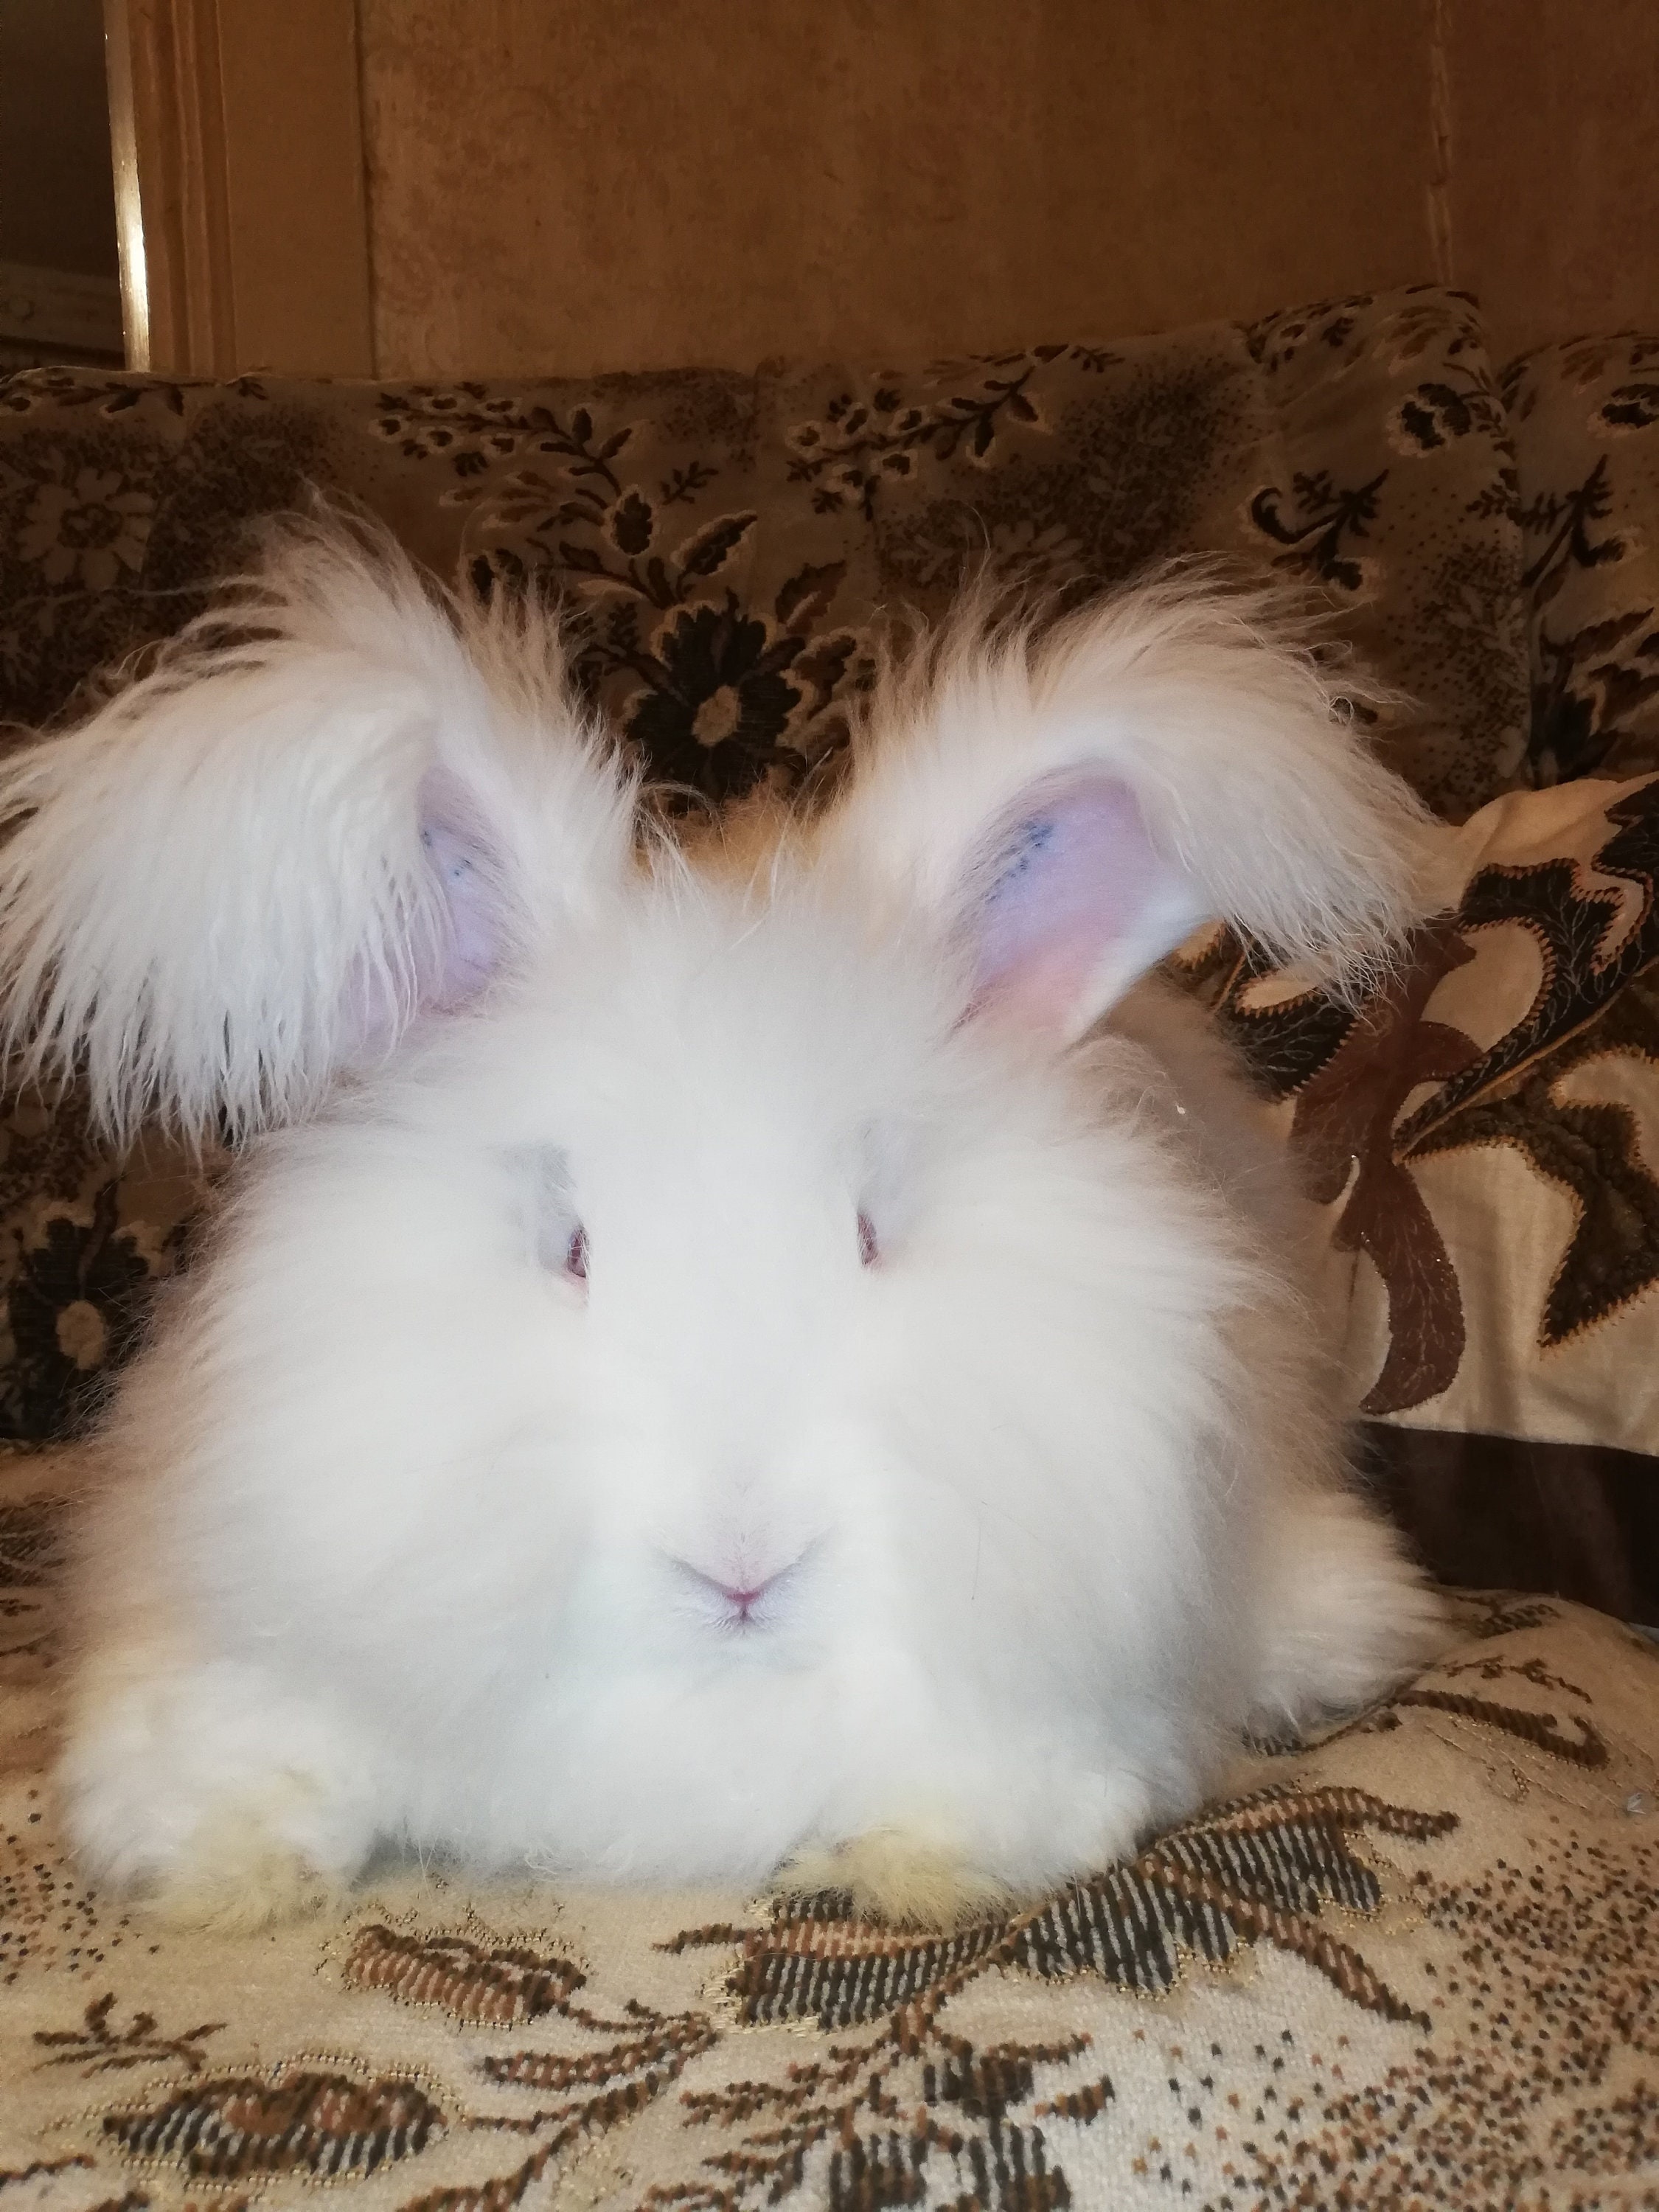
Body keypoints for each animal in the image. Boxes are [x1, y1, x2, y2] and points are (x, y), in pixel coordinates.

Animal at [0, 519, 1450, 1933]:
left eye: (869, 1237)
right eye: (573, 1250)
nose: (740, 1565)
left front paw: (920, 1862)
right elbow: (238, 1760)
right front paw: (219, 1865)